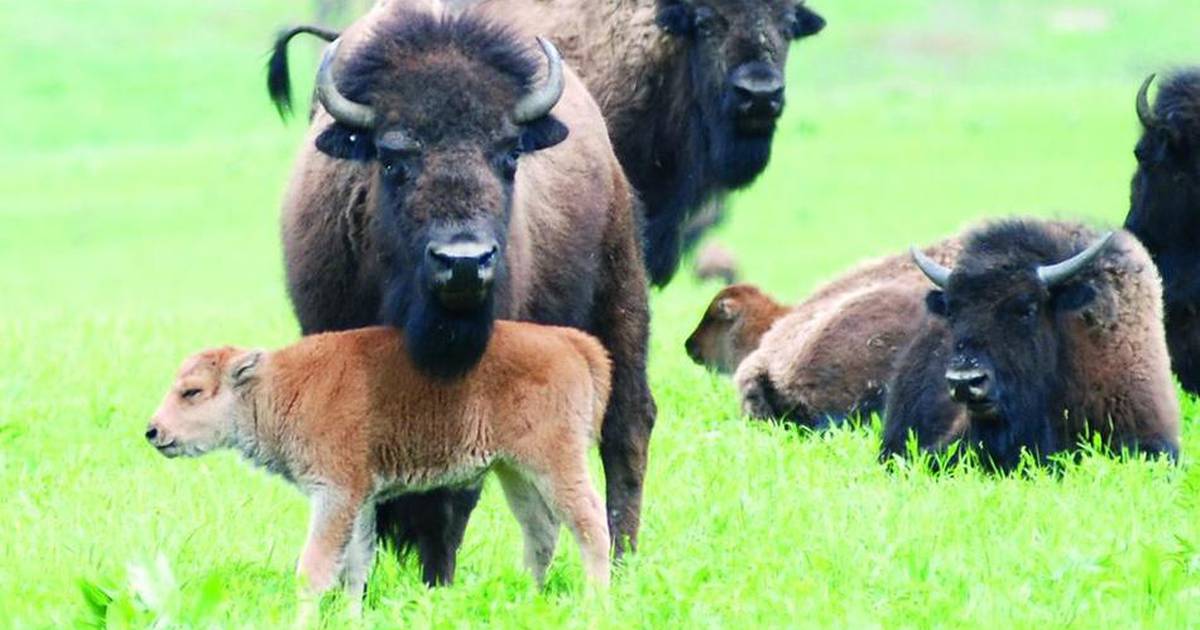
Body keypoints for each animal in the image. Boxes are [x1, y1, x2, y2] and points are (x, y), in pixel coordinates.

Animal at [267, 10, 655, 585]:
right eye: (392, 158)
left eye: (509, 154)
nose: (465, 262)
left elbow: (452, 490)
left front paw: (436, 580)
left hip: (620, 302)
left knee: (626, 427)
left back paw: (623, 561)